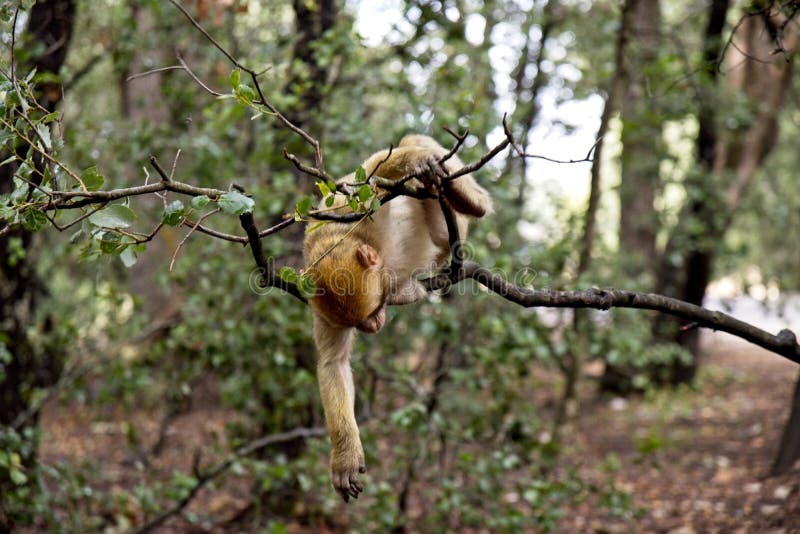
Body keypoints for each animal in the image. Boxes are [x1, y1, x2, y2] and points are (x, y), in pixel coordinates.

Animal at [303, 134, 492, 502]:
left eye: (373, 311)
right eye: (359, 323)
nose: (374, 325)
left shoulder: (356, 212)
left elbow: (373, 172)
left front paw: (418, 162)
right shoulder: (325, 313)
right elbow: (334, 364)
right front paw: (345, 454)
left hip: (445, 232)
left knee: (418, 158)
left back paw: (468, 200)